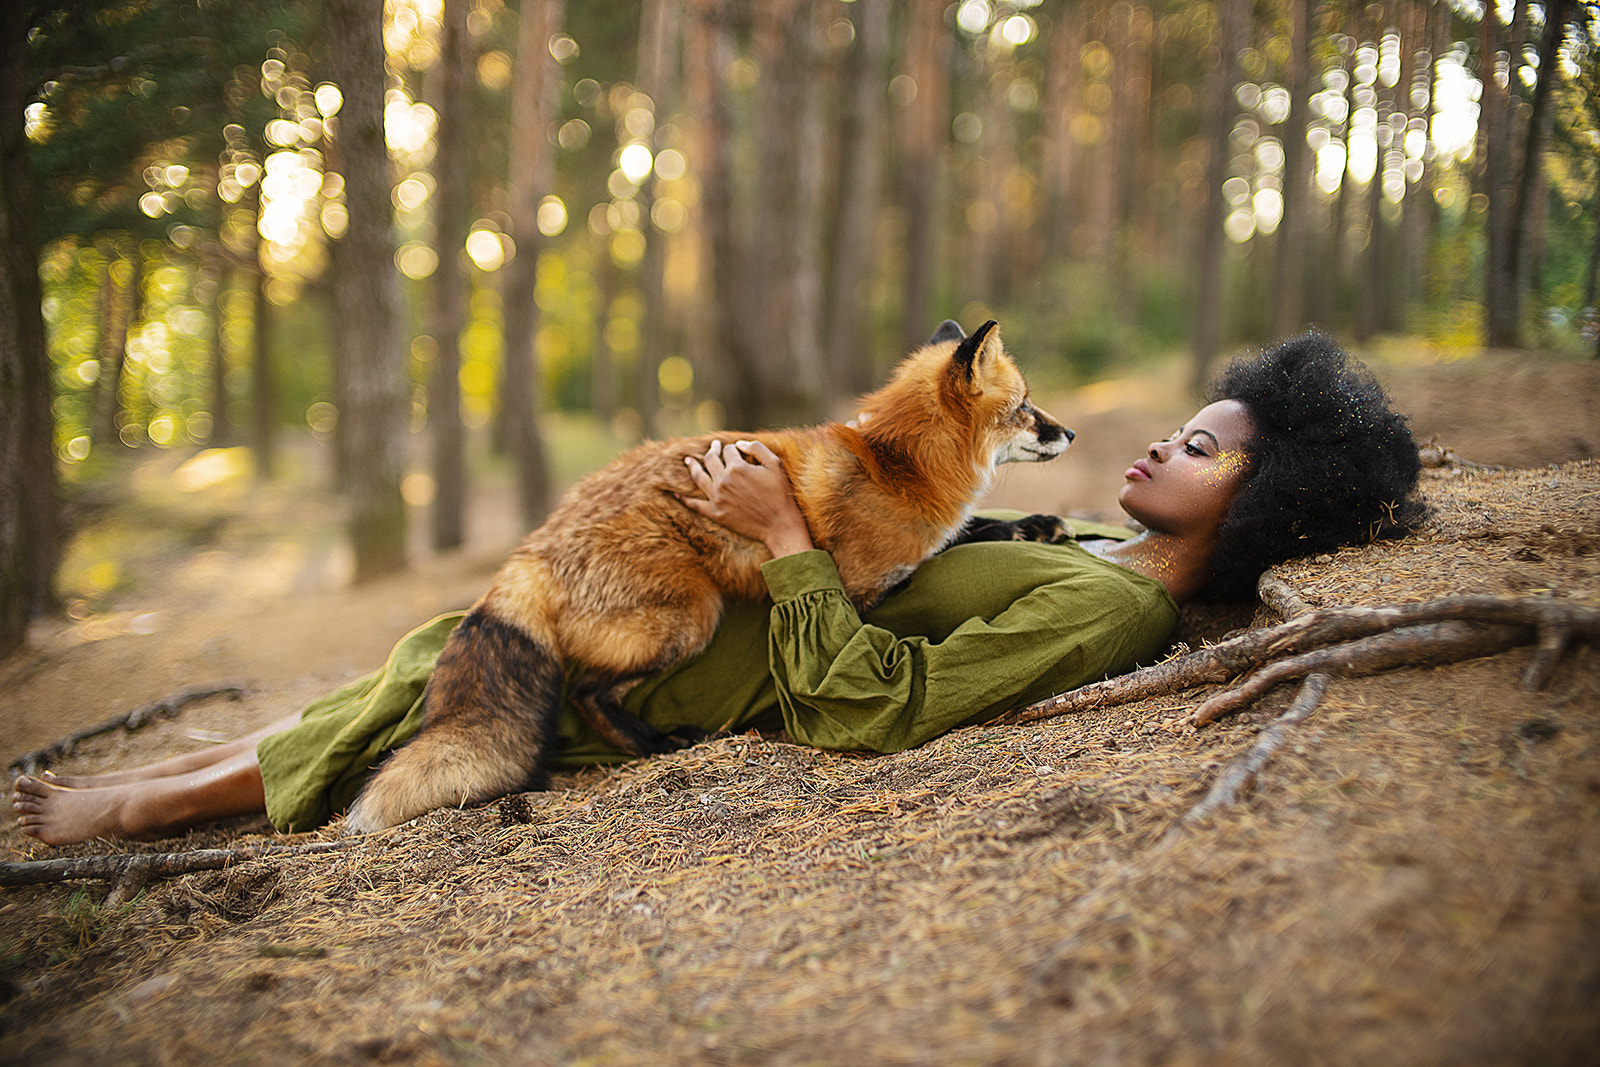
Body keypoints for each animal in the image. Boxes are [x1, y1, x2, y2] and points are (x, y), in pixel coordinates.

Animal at [342, 319, 1072, 834]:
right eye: (1026, 406)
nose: (1069, 434)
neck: (895, 462)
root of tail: (533, 546)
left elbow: (981, 528)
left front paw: (1042, 523)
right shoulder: (865, 586)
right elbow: (953, 550)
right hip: (688, 622)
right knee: (587, 692)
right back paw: (659, 743)